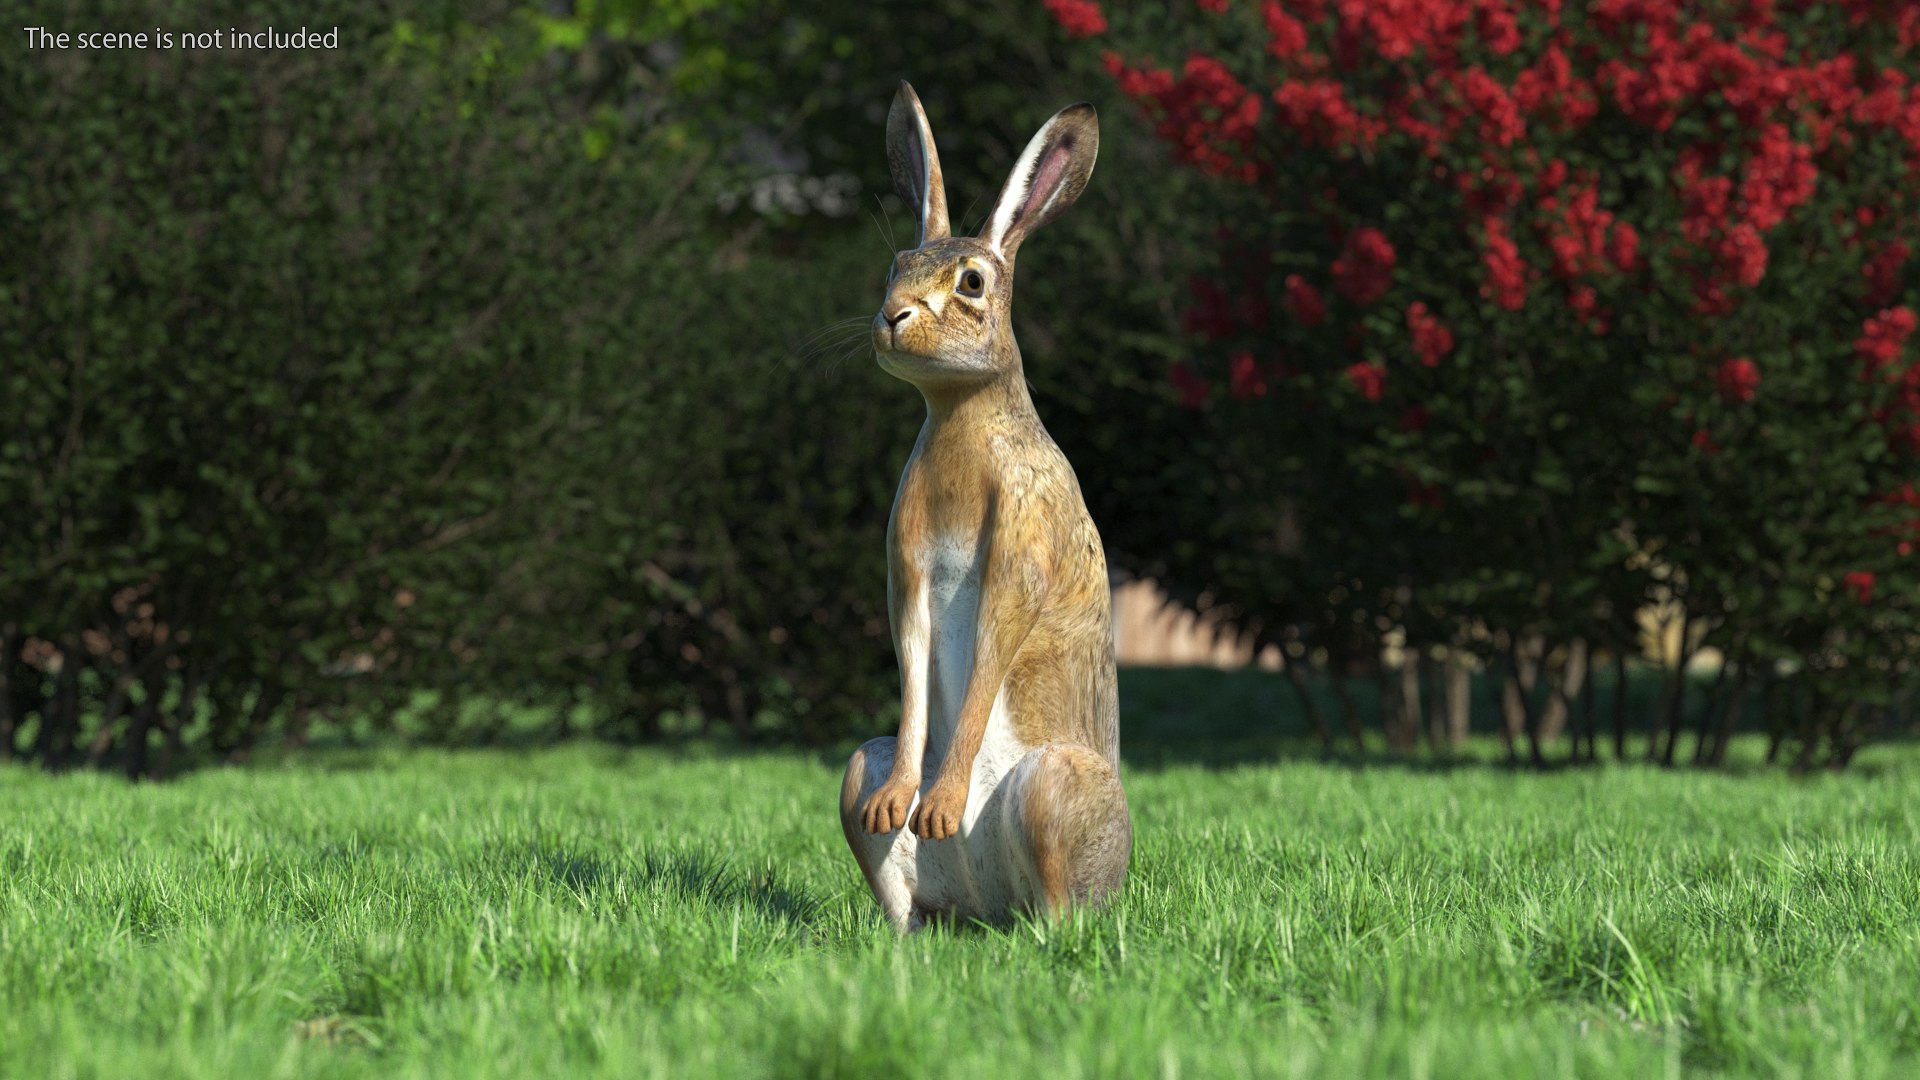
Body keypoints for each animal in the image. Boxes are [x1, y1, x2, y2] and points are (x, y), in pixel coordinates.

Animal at [839, 82, 1131, 934]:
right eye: (898, 265)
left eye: (971, 282)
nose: (893, 317)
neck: (962, 411)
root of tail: (985, 903)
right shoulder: (909, 572)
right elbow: (911, 659)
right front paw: (909, 802)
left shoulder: (1020, 549)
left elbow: (994, 644)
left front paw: (939, 805)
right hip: (855, 774)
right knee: (892, 869)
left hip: (1054, 791)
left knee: (1059, 901)